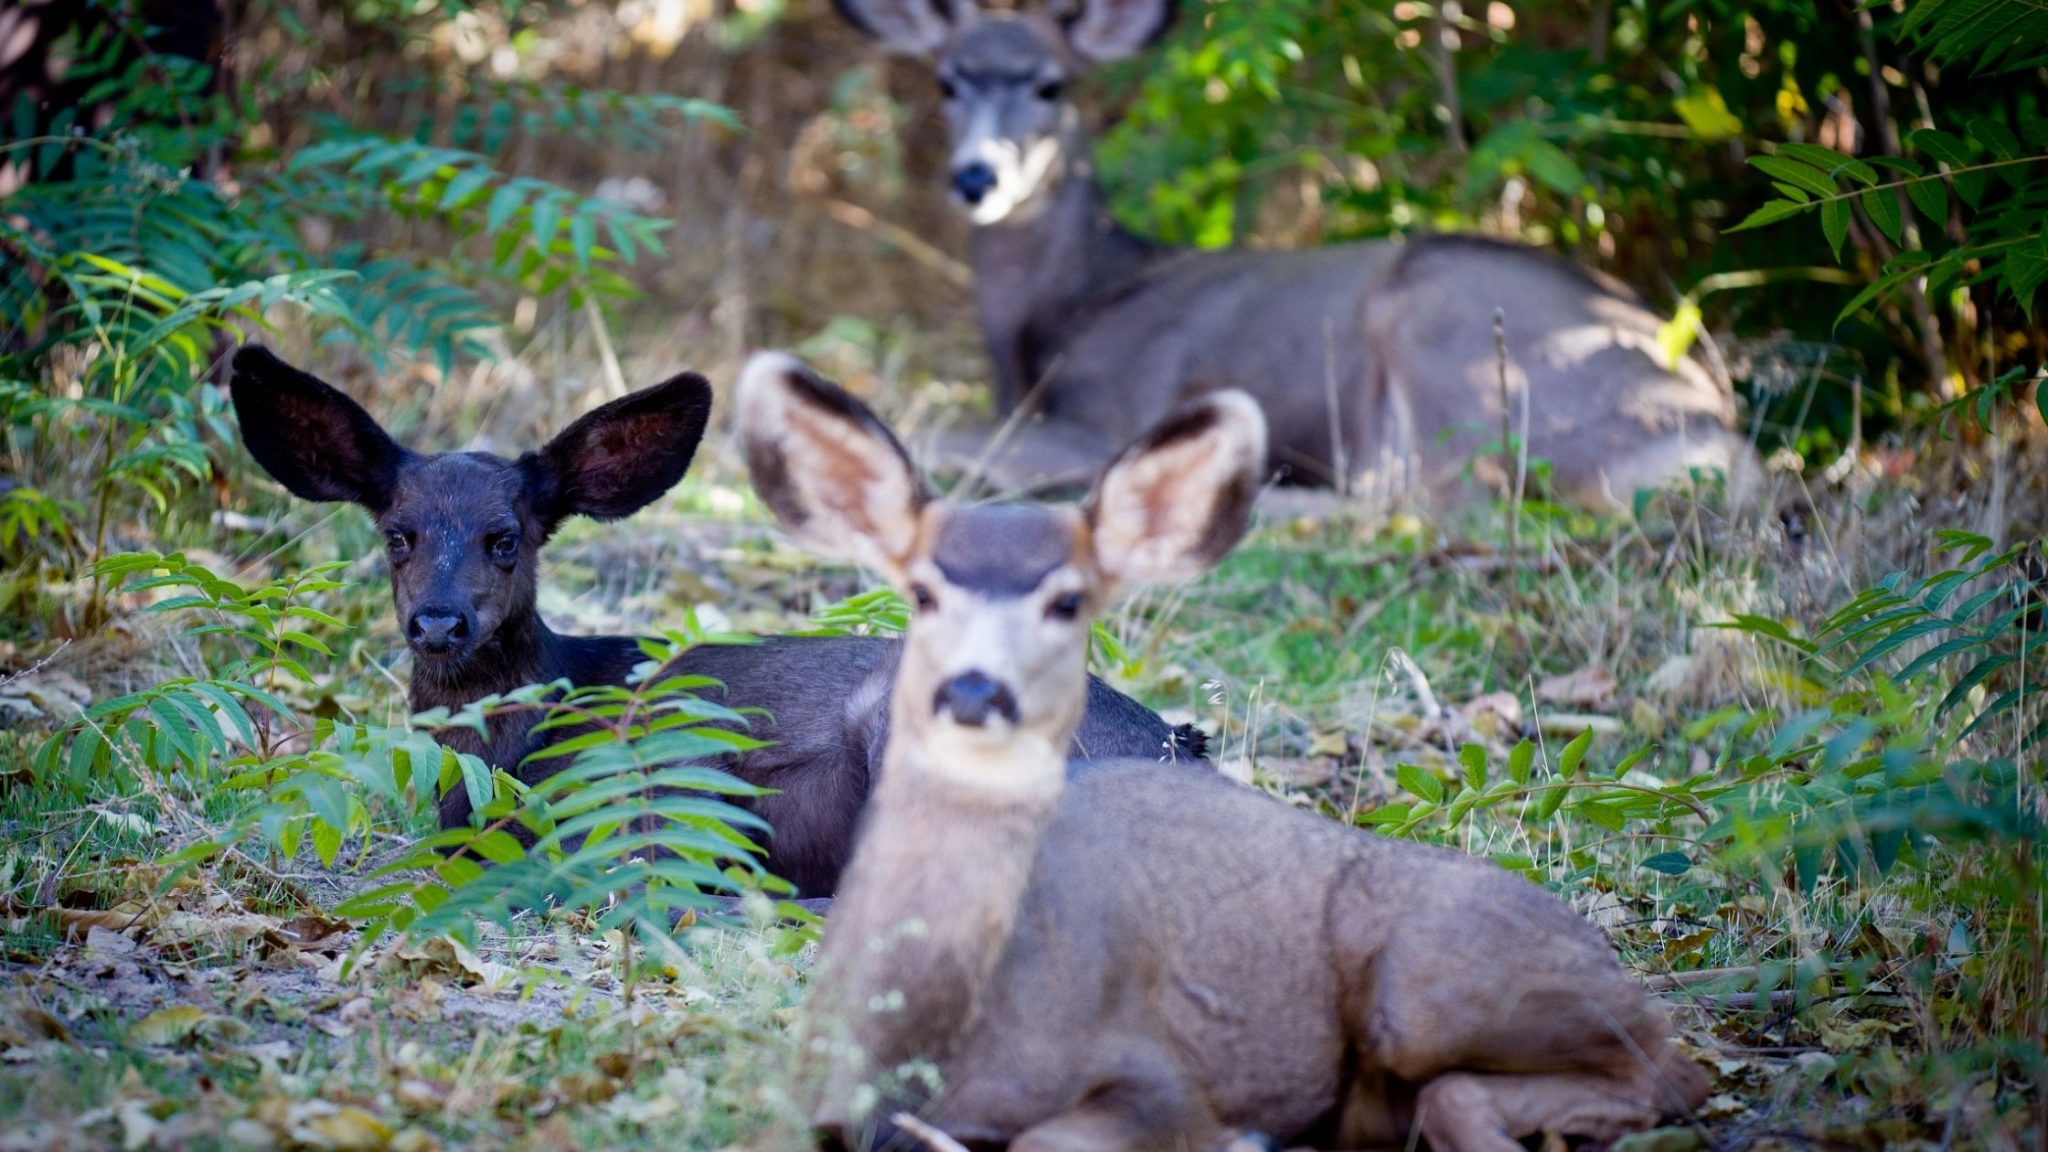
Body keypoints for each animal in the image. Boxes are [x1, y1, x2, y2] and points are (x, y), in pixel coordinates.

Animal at [828, 0, 1756, 512]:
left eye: (1049, 85)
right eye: (947, 81)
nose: (976, 175)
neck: (1069, 309)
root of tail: (1711, 424)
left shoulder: (1114, 415)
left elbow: (932, 426)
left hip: (1444, 329)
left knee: (1433, 503)